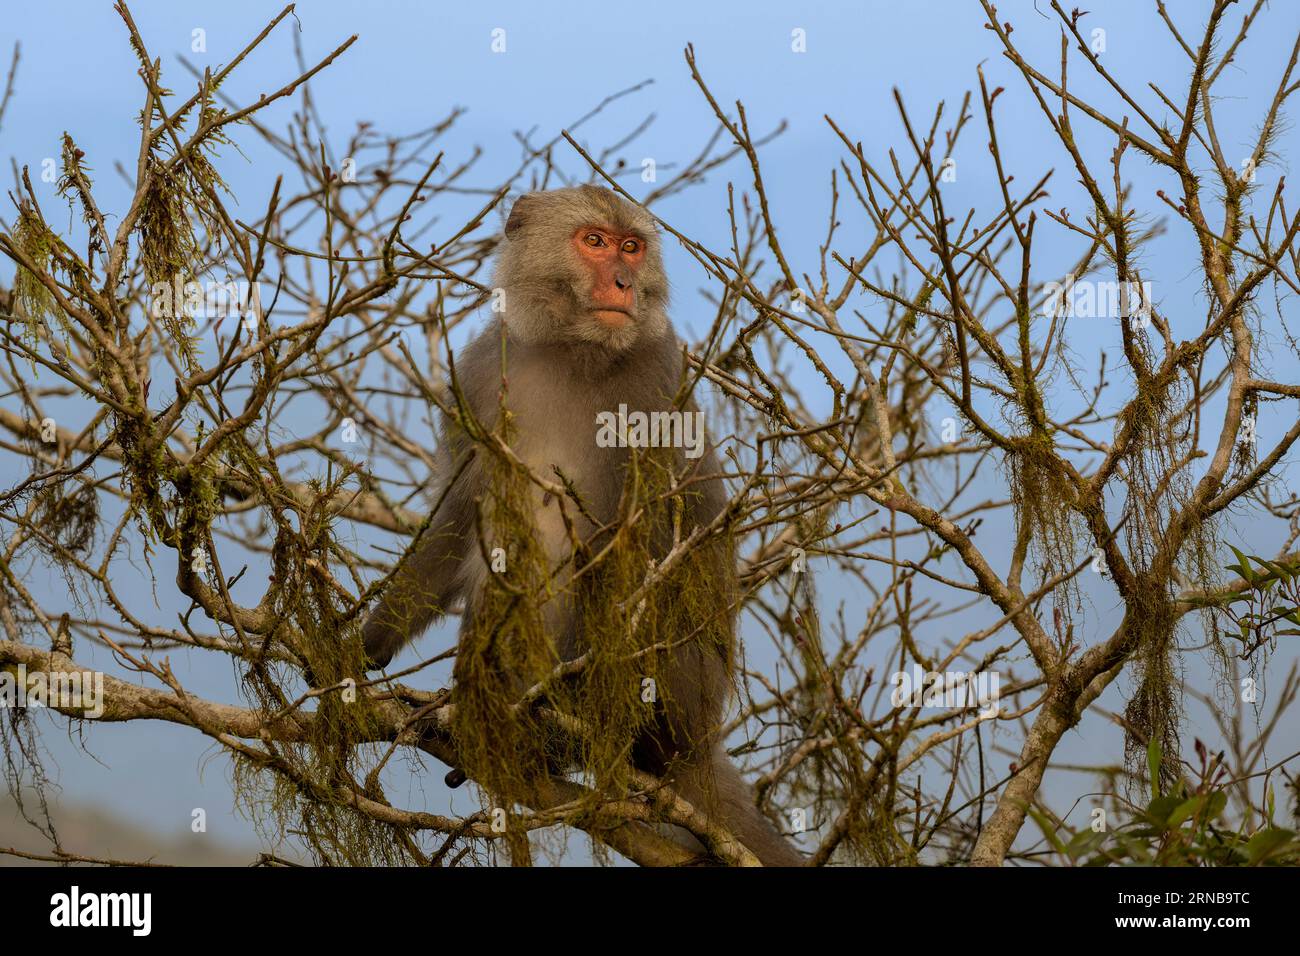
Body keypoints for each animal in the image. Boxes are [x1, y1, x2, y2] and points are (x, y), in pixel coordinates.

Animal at [361, 185, 801, 867]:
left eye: (631, 247)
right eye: (594, 242)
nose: (623, 281)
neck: (574, 352)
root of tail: (699, 742)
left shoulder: (653, 386)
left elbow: (633, 550)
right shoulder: (482, 375)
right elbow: (464, 522)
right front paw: (368, 639)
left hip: (680, 695)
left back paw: (555, 739)